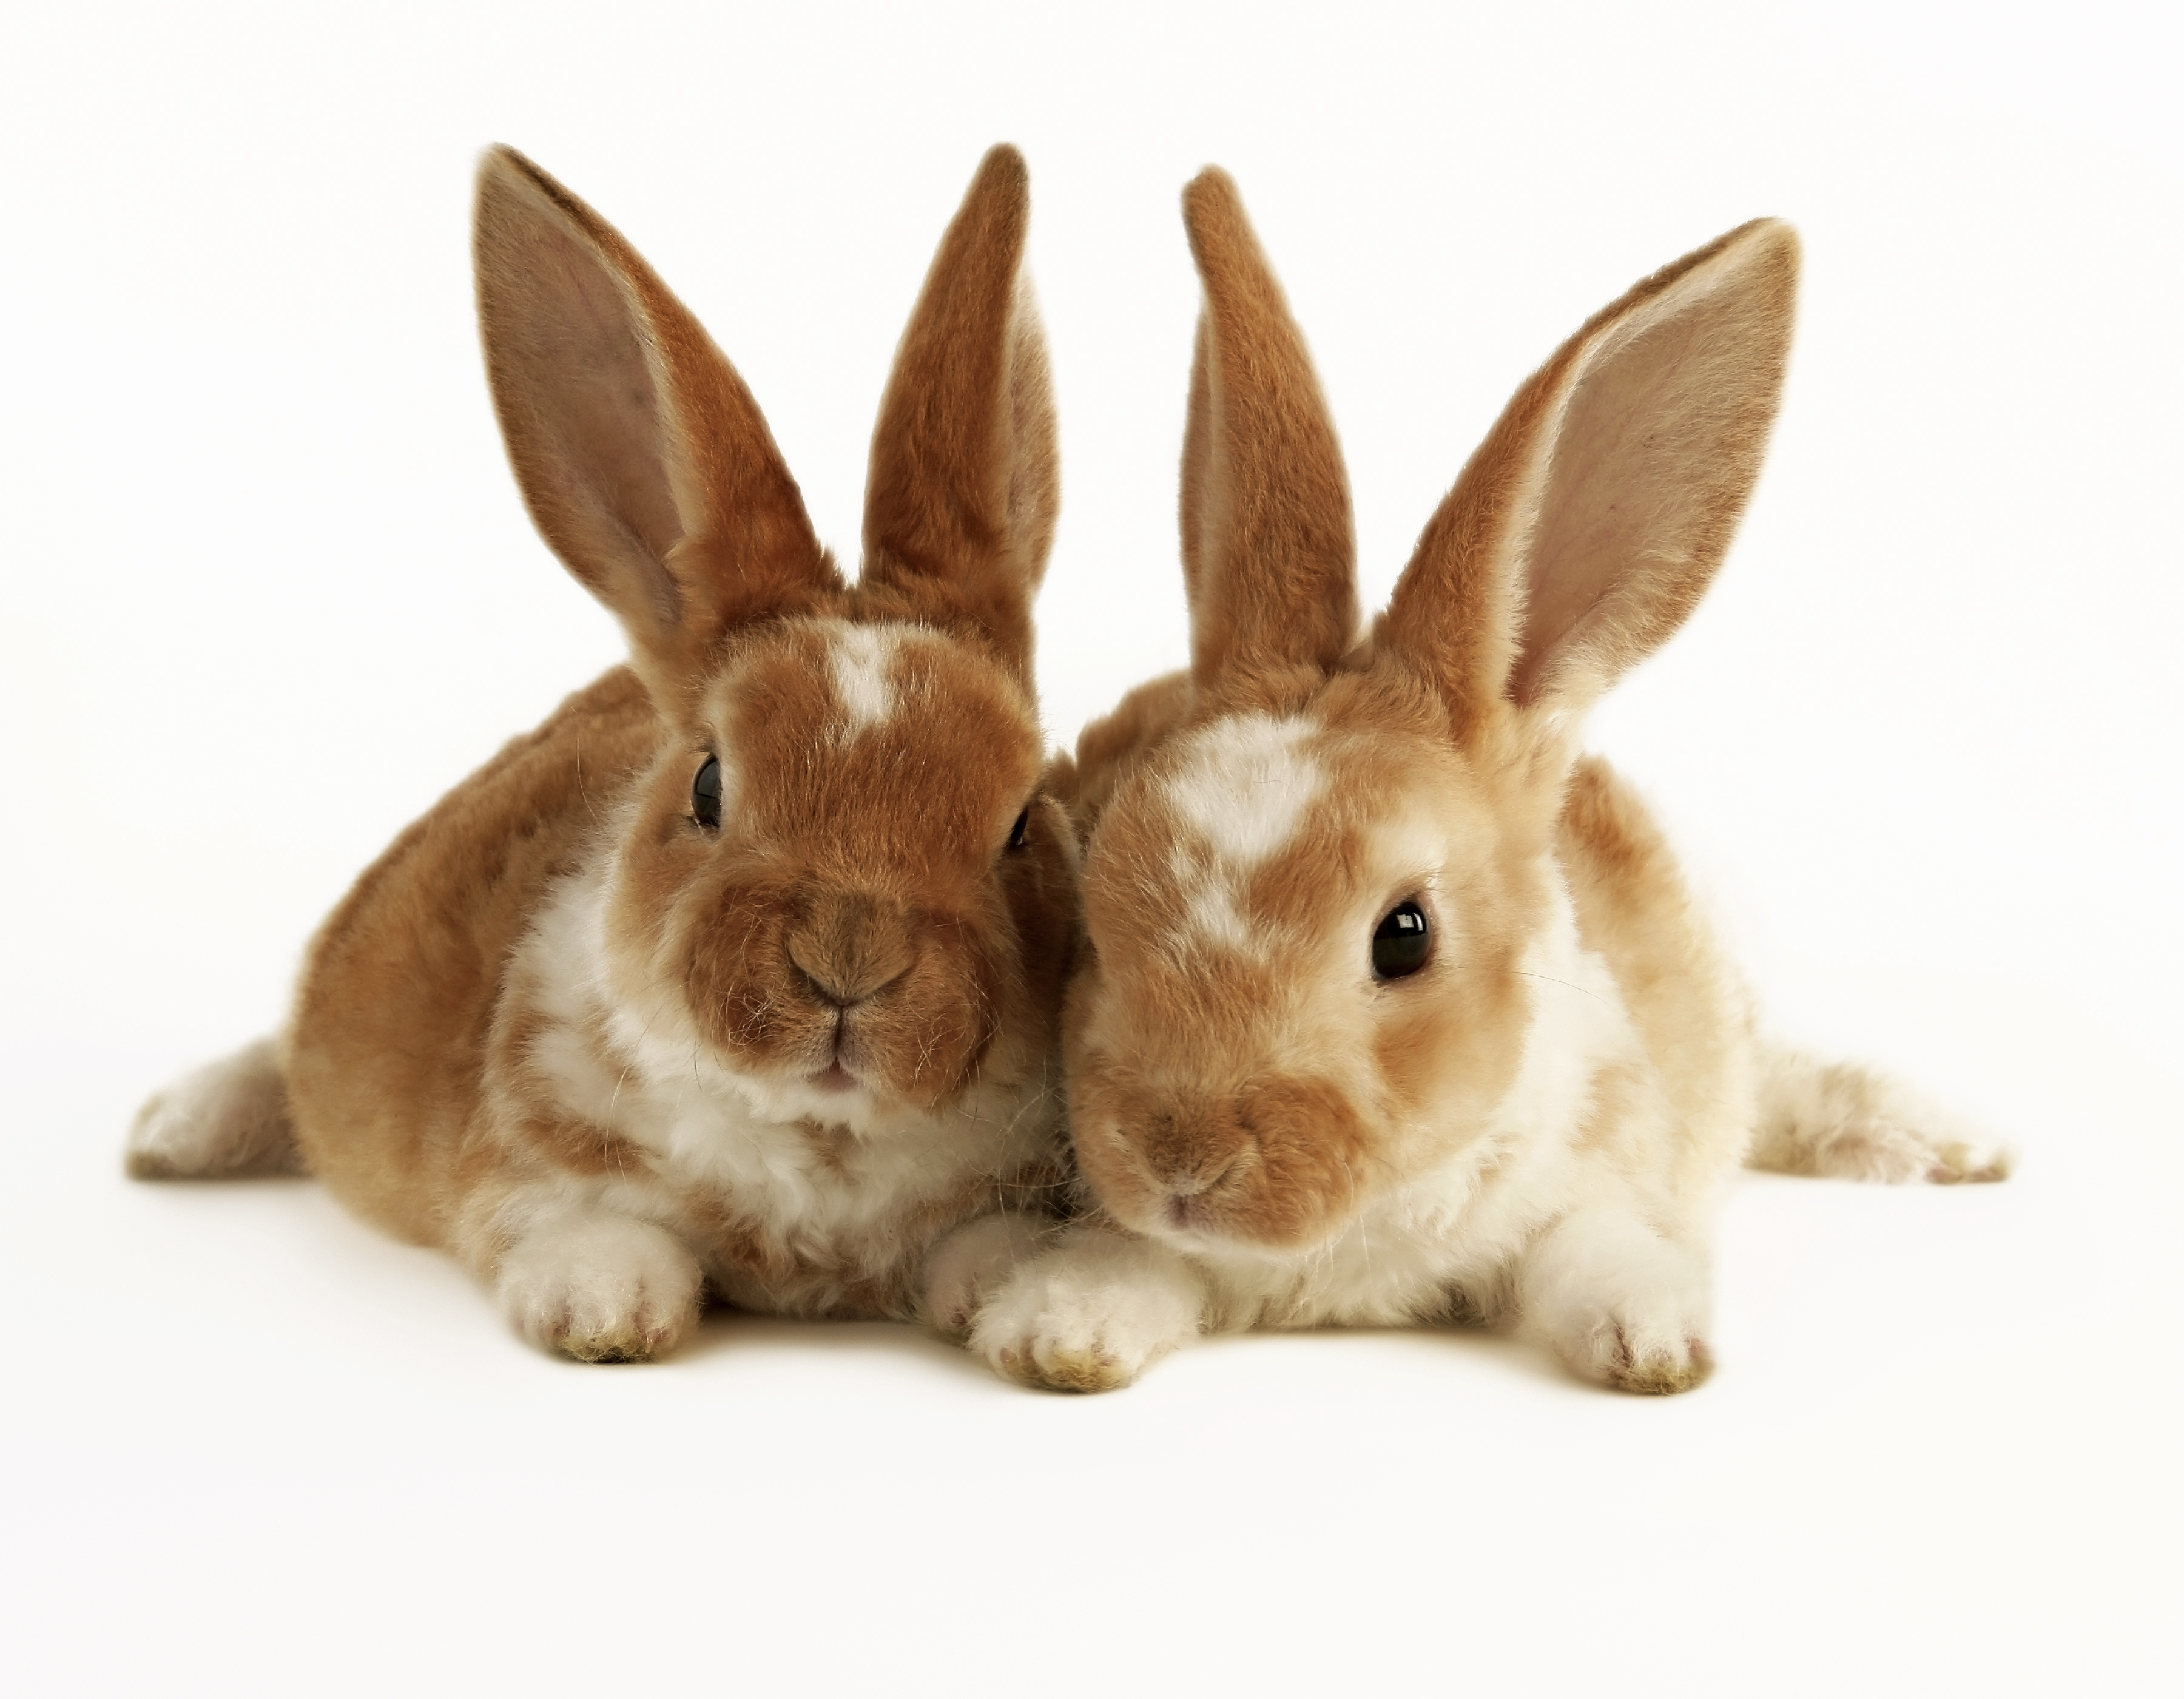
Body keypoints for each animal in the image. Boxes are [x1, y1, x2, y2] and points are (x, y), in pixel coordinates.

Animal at [127, 143, 1091, 1367]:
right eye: (710, 784)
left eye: (1022, 819)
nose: (849, 964)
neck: (821, 1139)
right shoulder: (527, 1171)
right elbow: (588, 1229)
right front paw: (609, 1311)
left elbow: (988, 1244)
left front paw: (1011, 1302)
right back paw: (172, 1132)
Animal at [967, 168, 2009, 1395]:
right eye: (1092, 918)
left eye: (1405, 937)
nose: (1182, 1159)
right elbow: (1131, 1265)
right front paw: (1060, 1332)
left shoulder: (1598, 1173)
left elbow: (1596, 1251)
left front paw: (1657, 1347)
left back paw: (1944, 1143)